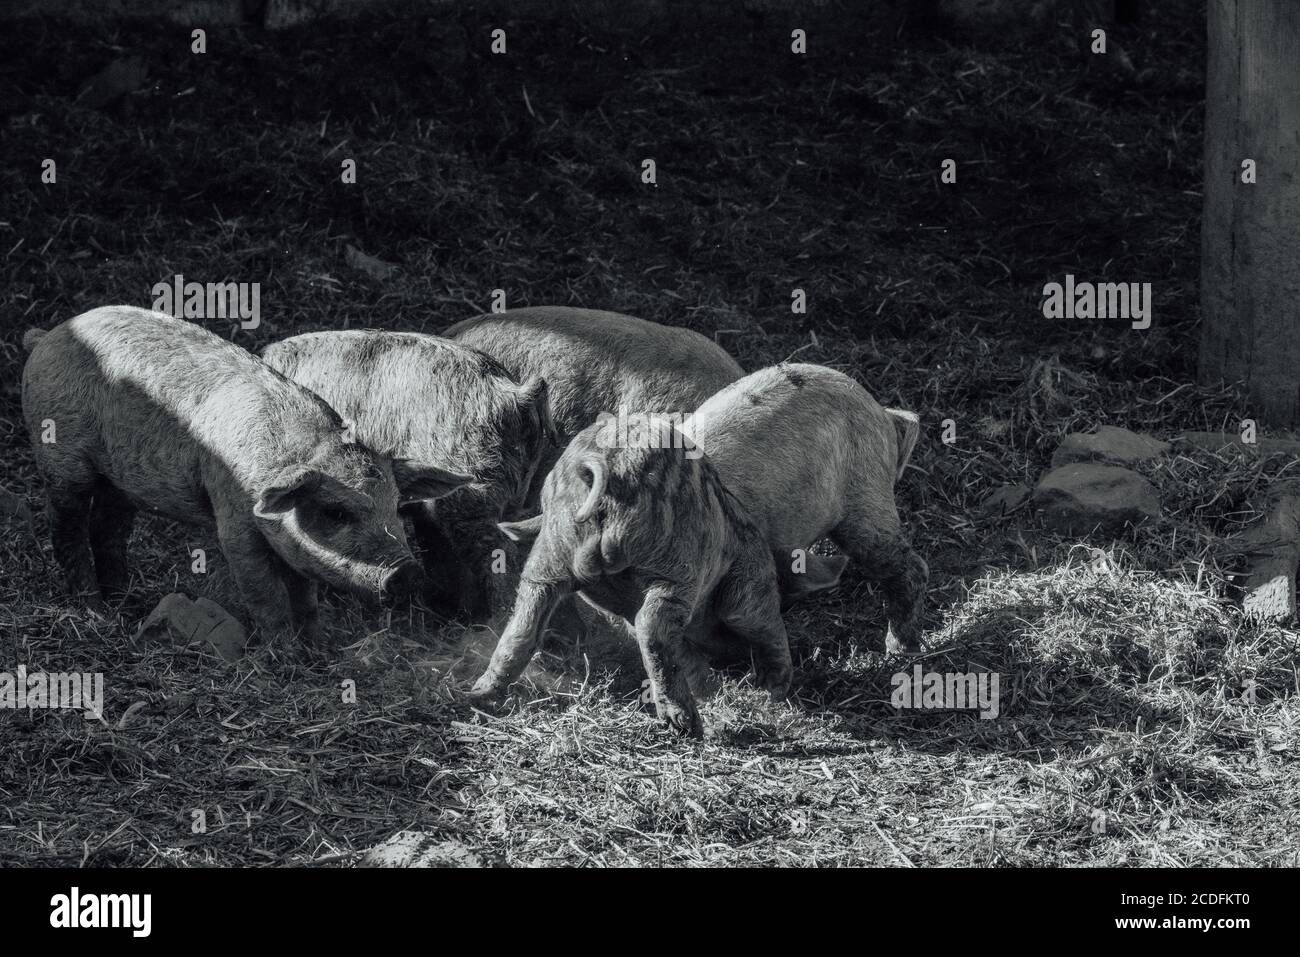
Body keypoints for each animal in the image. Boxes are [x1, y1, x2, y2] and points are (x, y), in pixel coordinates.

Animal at [21, 306, 470, 646]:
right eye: (336, 512)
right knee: (68, 526)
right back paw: (94, 610)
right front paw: (284, 654)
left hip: (120, 480)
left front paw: (318, 648)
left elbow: (305, 593)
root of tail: (47, 336)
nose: (408, 572)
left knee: (109, 527)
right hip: (60, 456)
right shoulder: (233, 518)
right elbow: (263, 590)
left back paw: (125, 605)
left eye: (395, 508)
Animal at [467, 416, 793, 737]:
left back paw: (480, 693)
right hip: (675, 561)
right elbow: (760, 623)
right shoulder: (751, 580)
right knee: (654, 625)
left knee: (525, 621)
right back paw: (688, 724)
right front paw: (773, 686)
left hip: (552, 550)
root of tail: (605, 464)